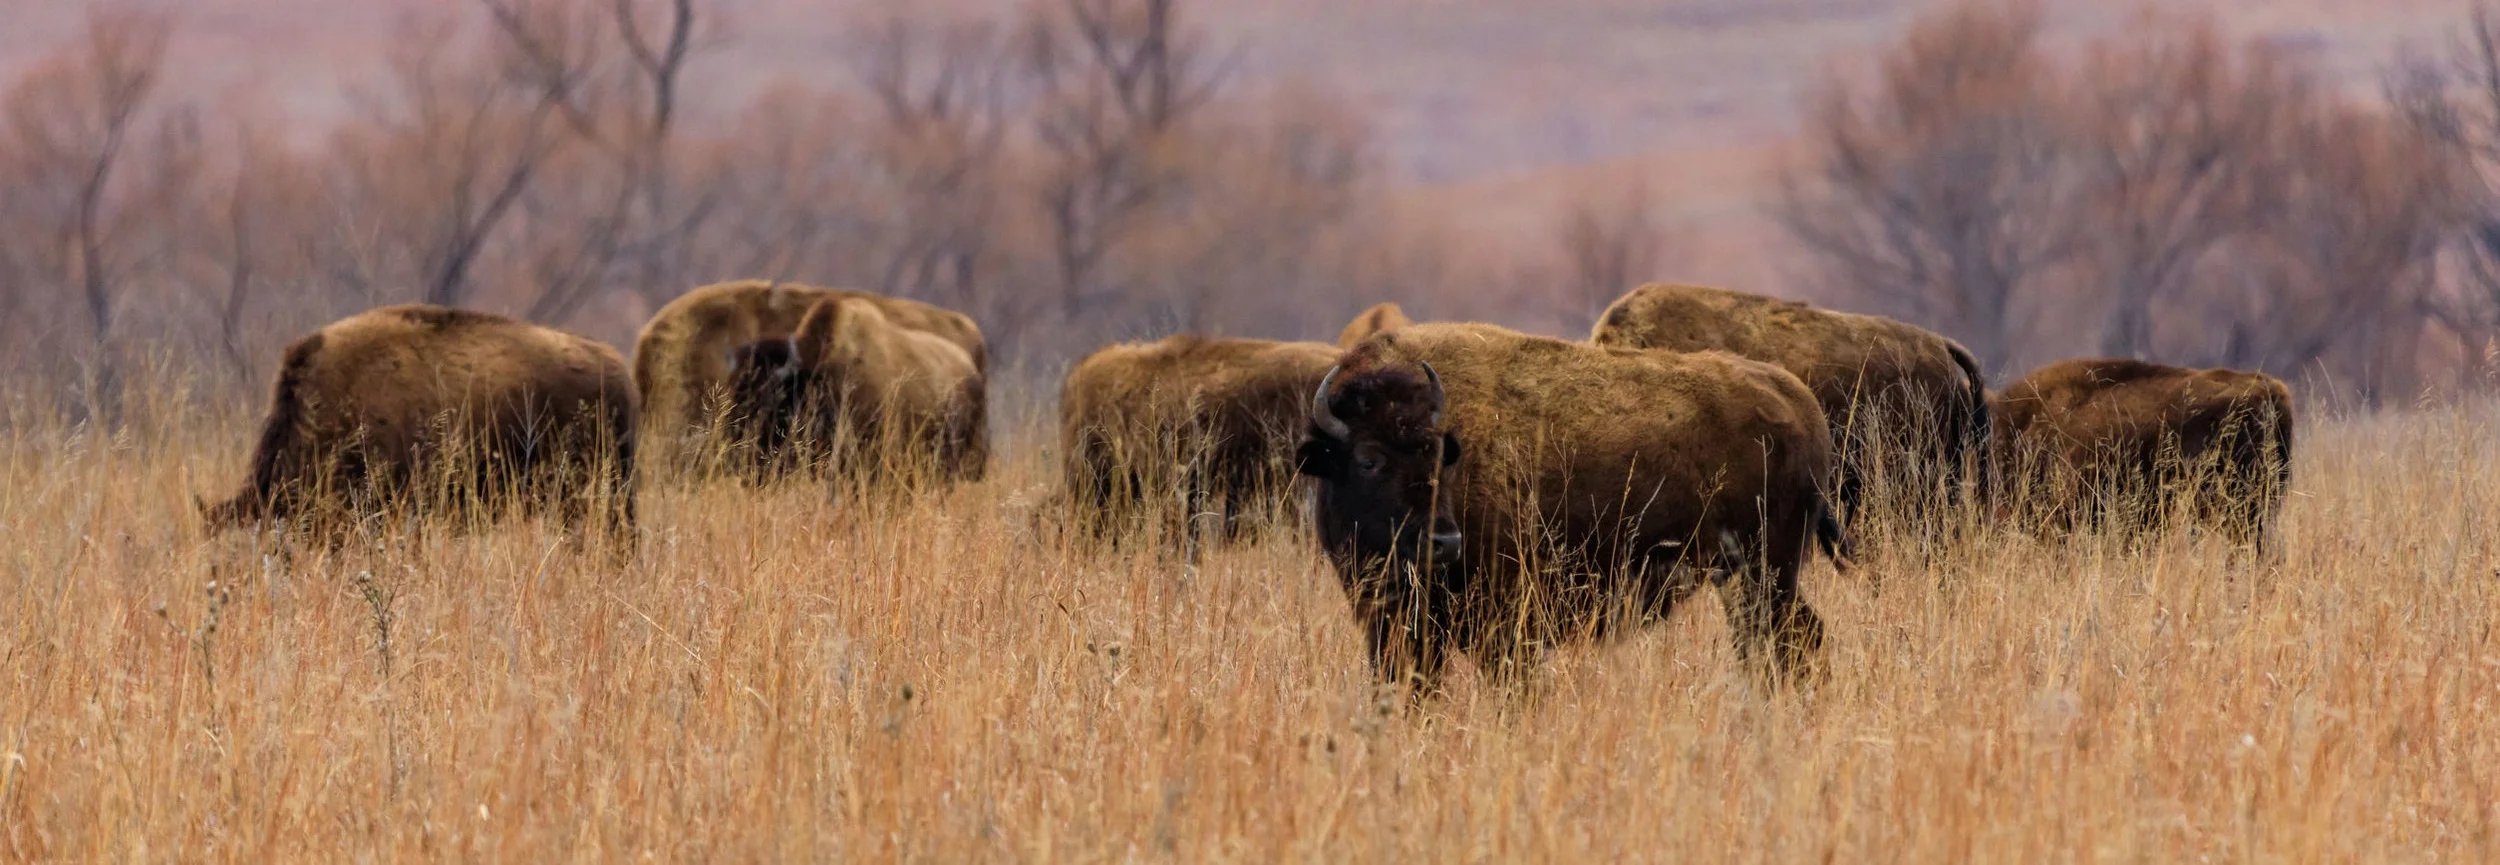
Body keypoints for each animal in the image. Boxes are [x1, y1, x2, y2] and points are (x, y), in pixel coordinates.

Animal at [1300, 323, 1846, 694]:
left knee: (1792, 644)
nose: (1443, 541)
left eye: (1438, 454)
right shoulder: (1397, 628)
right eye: (1368, 459)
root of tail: (1796, 399)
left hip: (1768, 572)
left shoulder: (1504, 626)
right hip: (1749, 579)